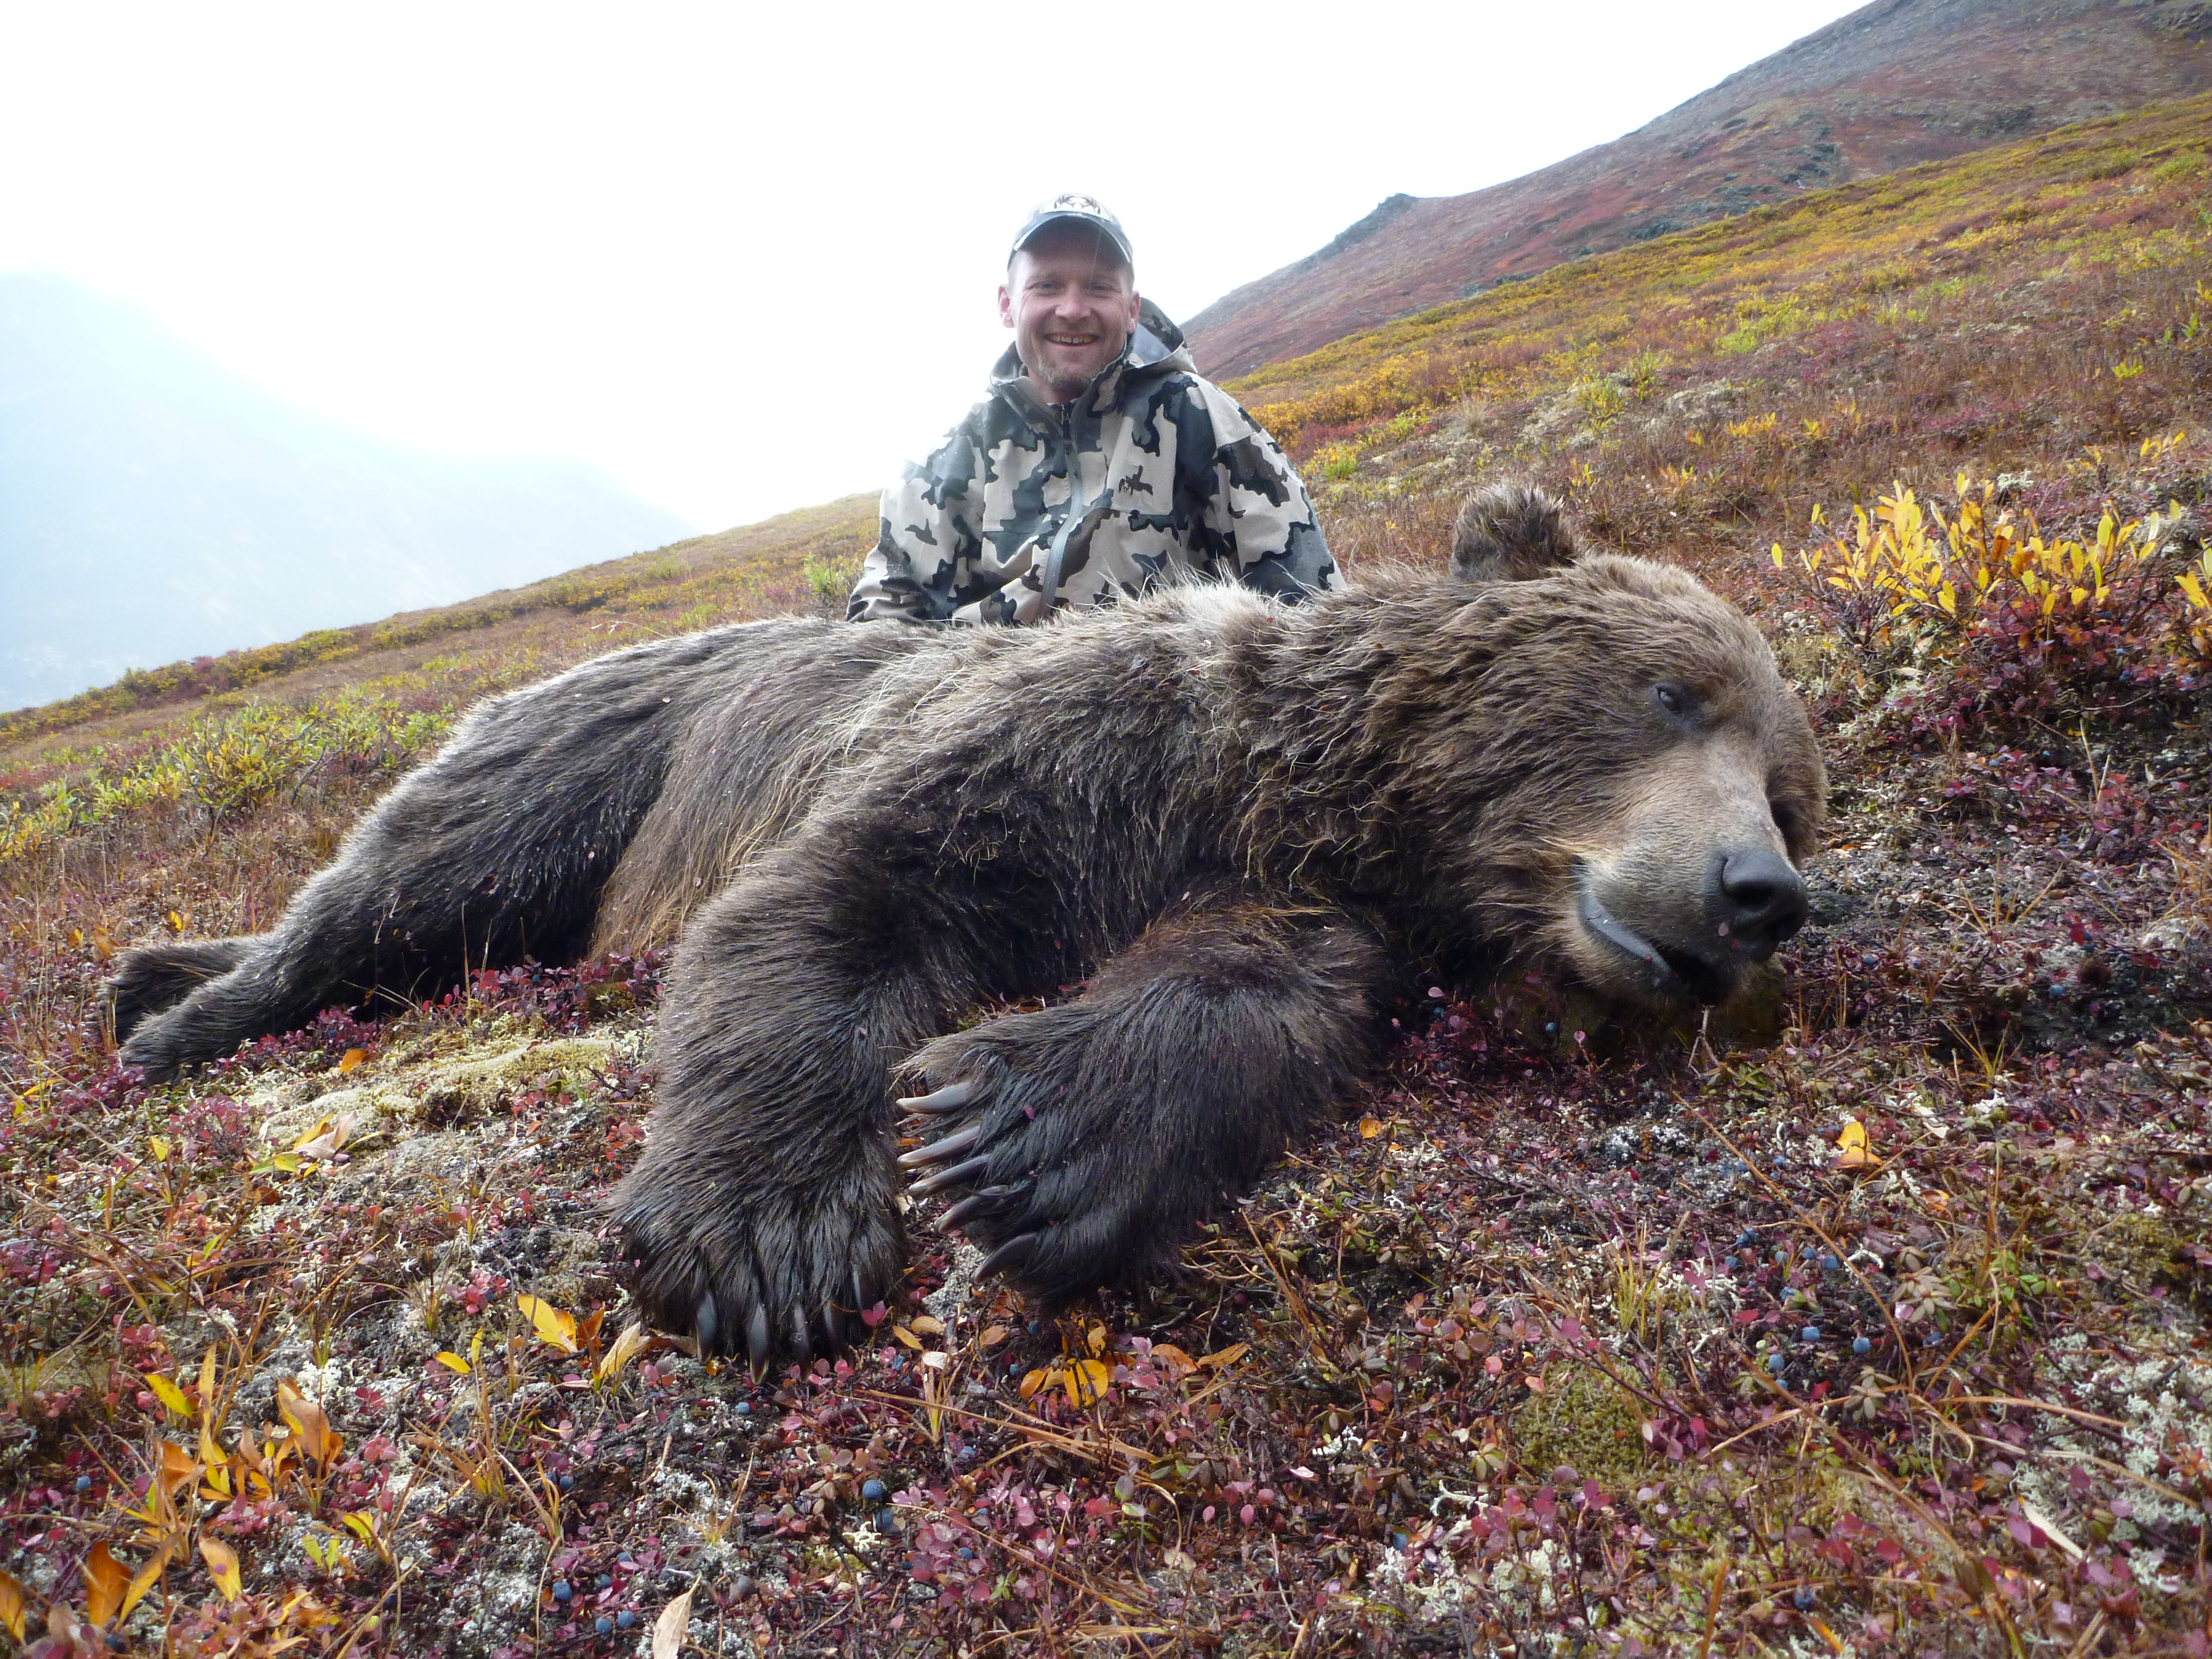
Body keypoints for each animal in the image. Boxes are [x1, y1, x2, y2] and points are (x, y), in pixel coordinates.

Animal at [109, 487, 1824, 1364]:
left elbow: (1252, 994)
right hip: (587, 756)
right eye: (1672, 693)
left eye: (1793, 795)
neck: (1266, 782)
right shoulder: (1044, 763)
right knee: (401, 891)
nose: (1759, 896)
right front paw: (768, 1237)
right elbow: (831, 910)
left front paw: (1026, 1135)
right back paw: (170, 1009)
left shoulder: (1289, 888)